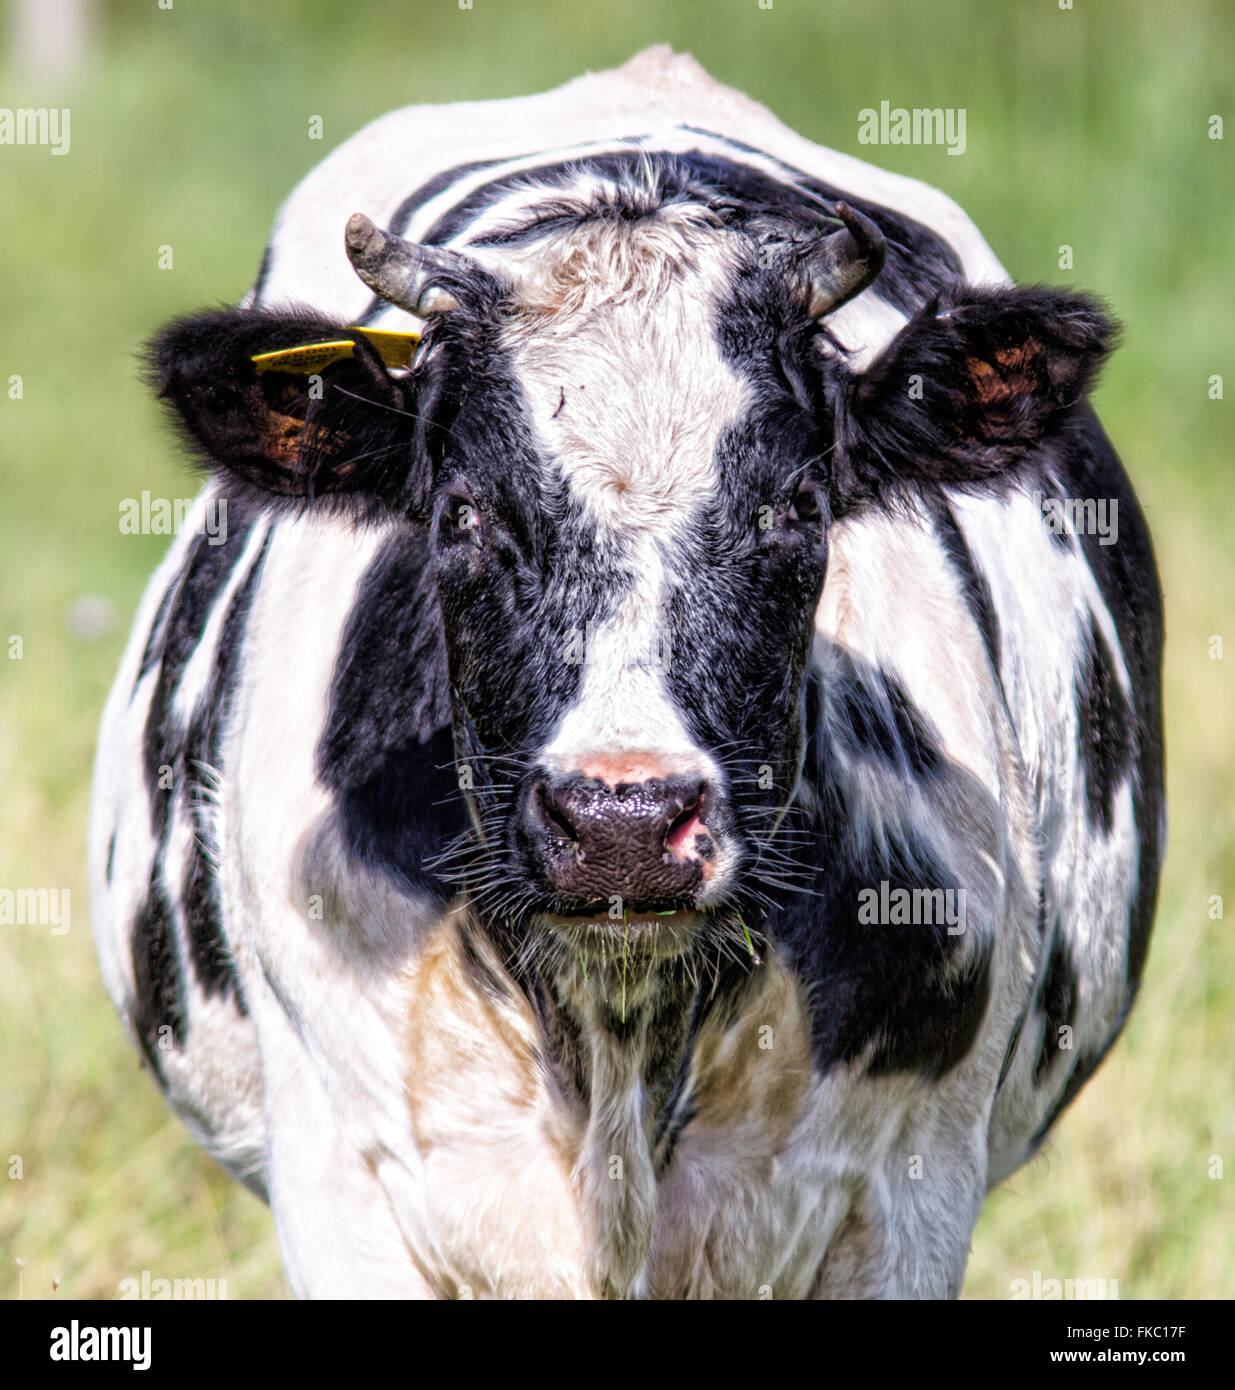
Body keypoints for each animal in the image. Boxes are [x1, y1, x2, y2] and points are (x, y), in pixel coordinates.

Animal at [89, 47, 1164, 1299]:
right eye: (461, 511)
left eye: (797, 507)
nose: (622, 821)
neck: (617, 1039)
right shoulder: (341, 1184)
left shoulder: (910, 1191)